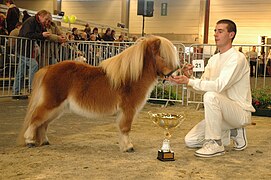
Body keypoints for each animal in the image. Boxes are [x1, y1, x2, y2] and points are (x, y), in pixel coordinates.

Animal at [19, 35, 181, 152]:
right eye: (163, 56)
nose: (176, 73)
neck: (131, 77)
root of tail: (49, 68)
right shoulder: (128, 109)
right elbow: (125, 128)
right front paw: (128, 147)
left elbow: (122, 128)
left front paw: (124, 146)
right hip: (52, 104)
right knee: (36, 118)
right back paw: (30, 141)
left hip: (57, 108)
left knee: (43, 123)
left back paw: (44, 141)